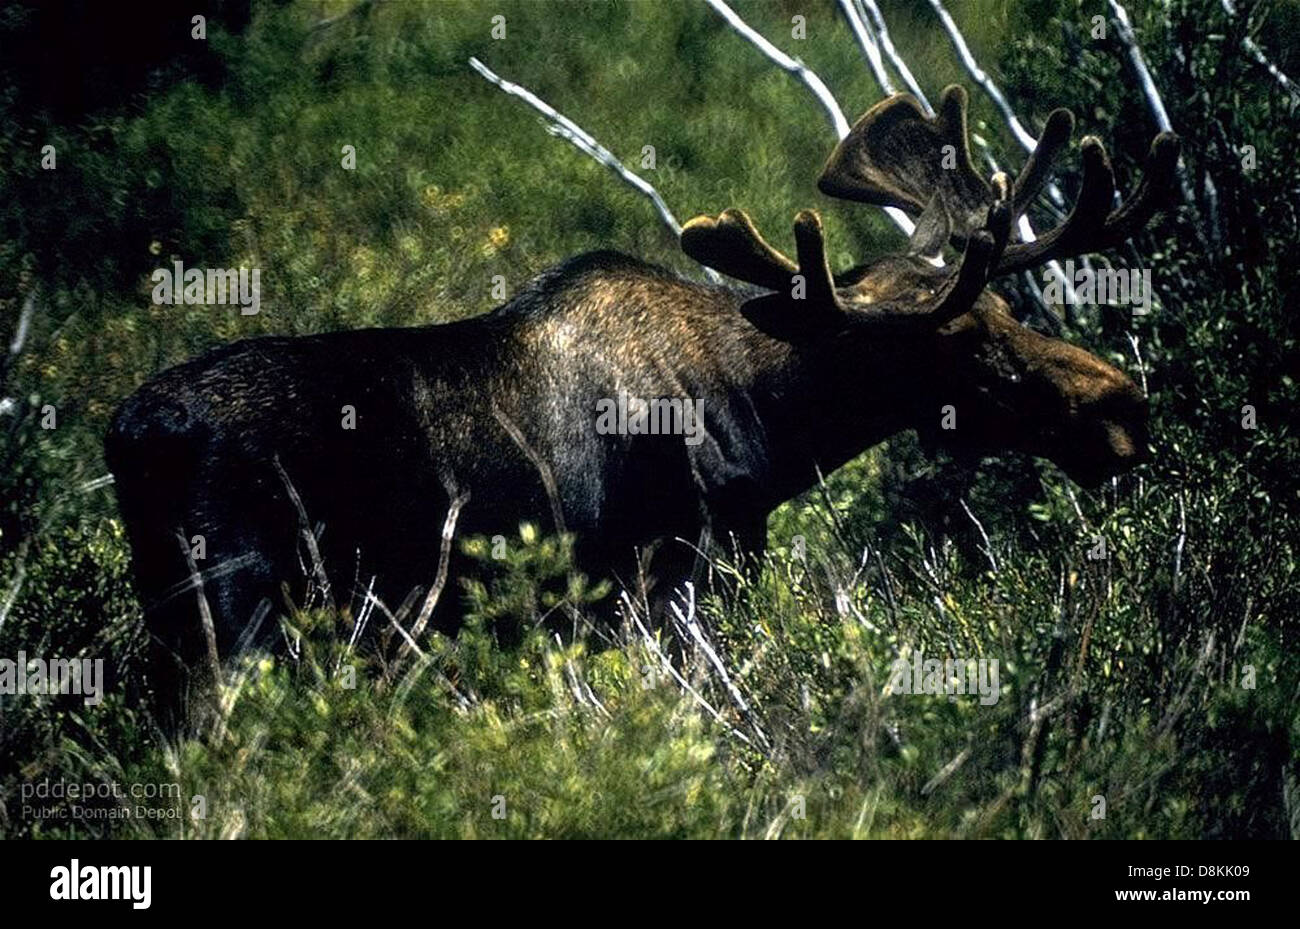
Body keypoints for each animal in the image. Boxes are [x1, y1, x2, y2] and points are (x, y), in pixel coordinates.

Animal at [106, 86, 1178, 727]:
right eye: (964, 338)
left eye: (1008, 307)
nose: (1124, 406)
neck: (770, 423)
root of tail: (126, 435)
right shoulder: (675, 571)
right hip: (231, 618)